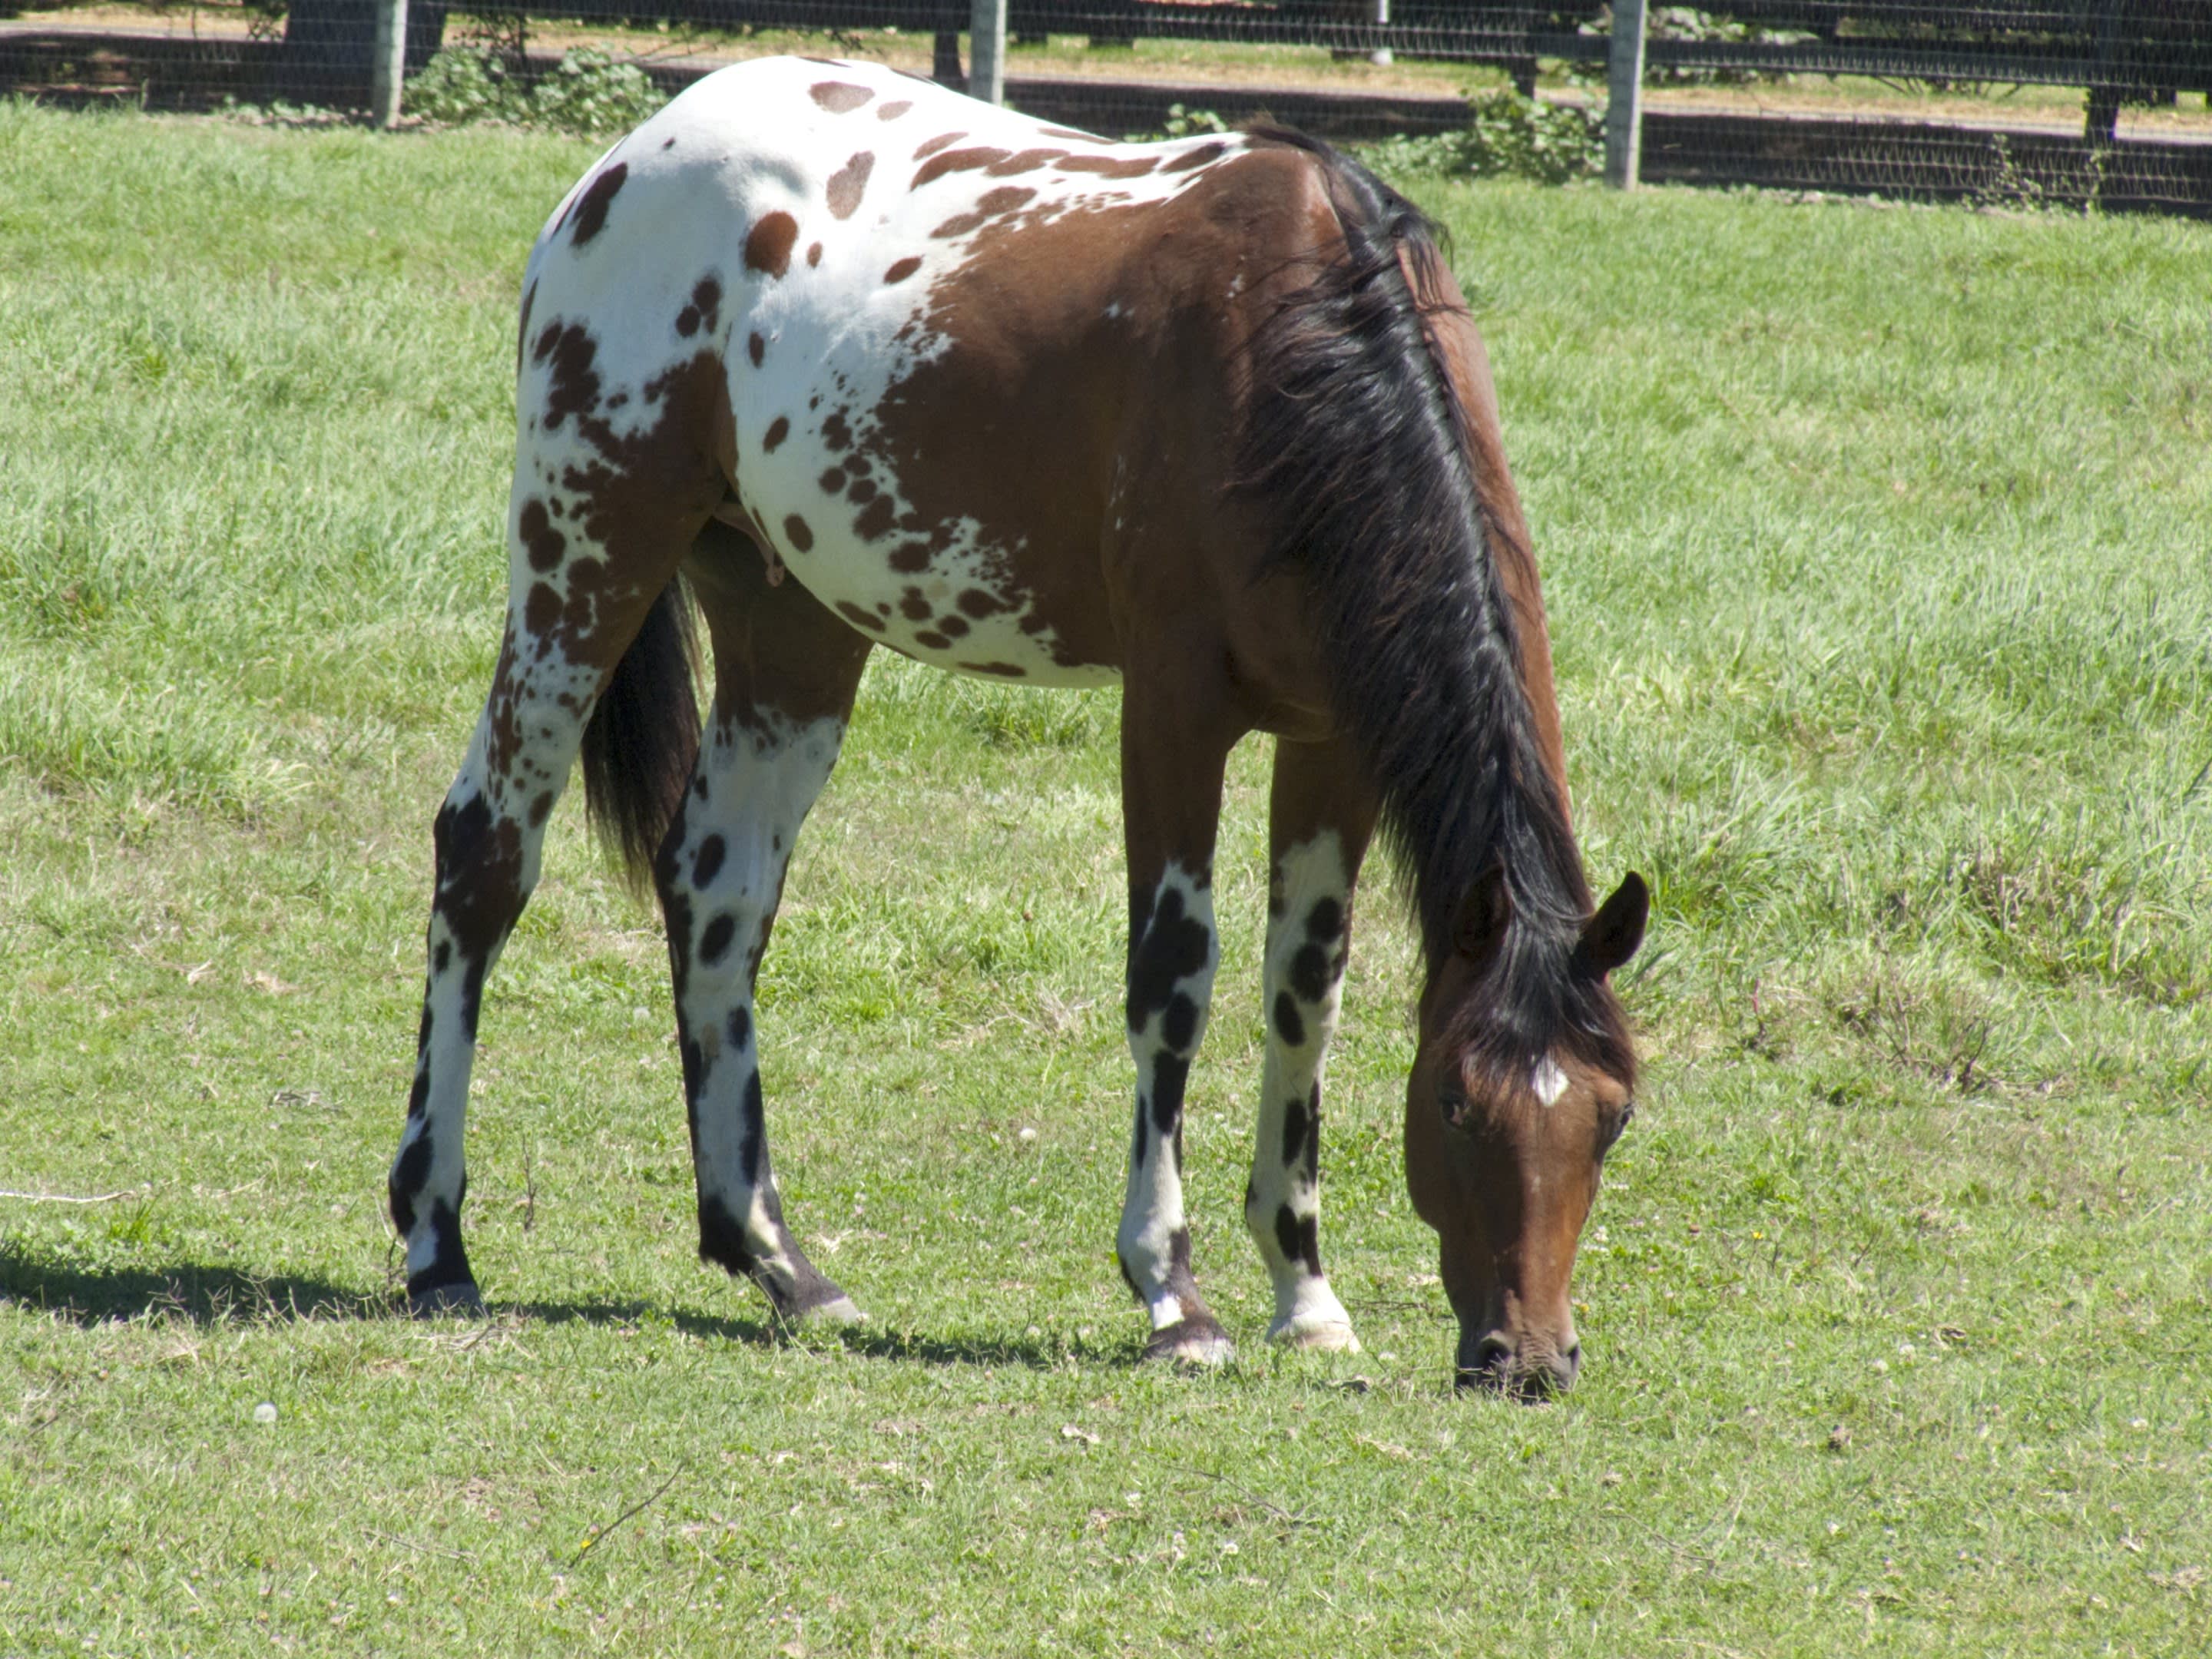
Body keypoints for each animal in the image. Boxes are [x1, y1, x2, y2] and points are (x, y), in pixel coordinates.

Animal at [386, 55, 1648, 1395]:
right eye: (1457, 1103)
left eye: (1613, 1114)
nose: (1528, 1358)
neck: (1300, 352)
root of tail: (630, 158)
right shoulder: (1175, 709)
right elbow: (1175, 978)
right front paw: (1174, 1293)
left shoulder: (1334, 741)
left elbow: (1305, 991)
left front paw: (1306, 1293)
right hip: (585, 557)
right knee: (485, 853)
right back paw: (437, 1242)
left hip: (792, 630)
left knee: (718, 897)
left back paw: (780, 1262)